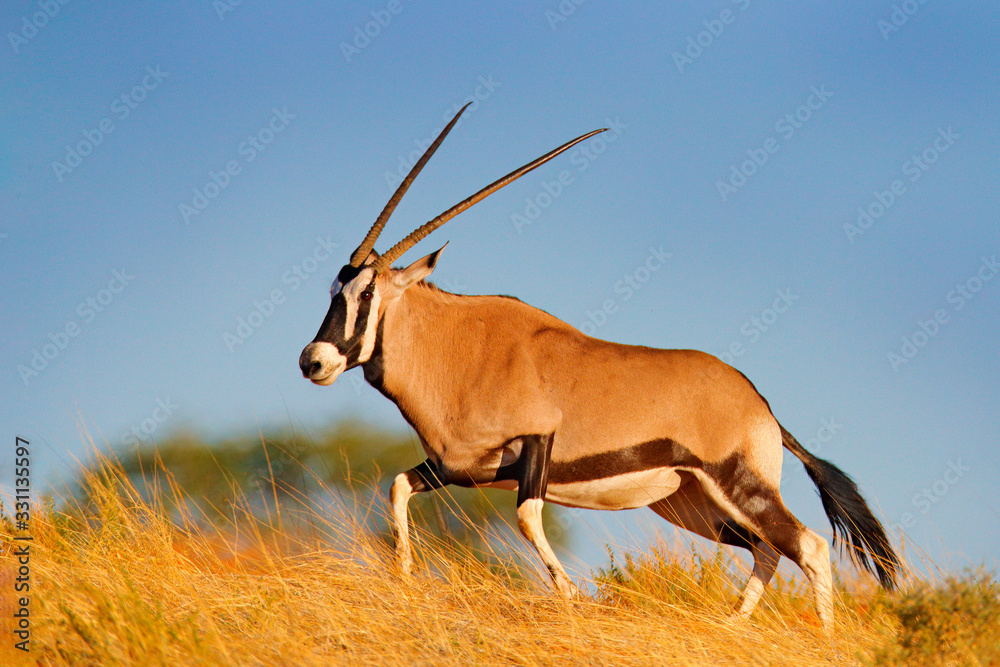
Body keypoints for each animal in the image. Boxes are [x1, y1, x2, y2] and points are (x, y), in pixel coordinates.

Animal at [299, 104, 900, 632]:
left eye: (367, 292)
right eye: (334, 290)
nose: (314, 360)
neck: (459, 349)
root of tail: (763, 408)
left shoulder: (536, 446)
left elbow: (527, 516)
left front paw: (569, 597)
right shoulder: (461, 467)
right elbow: (398, 486)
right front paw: (404, 579)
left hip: (739, 484)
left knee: (808, 546)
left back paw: (821, 639)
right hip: (692, 503)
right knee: (767, 550)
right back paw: (732, 626)